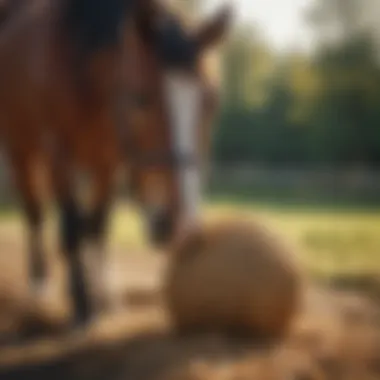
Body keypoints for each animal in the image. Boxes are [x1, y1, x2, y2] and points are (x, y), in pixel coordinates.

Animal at [0, 0, 232, 326]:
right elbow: (72, 226)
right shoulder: (58, 154)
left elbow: (97, 224)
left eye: (211, 102)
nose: (182, 227)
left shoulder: (108, 162)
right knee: (35, 213)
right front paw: (82, 302)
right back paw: (39, 285)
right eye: (140, 100)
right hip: (20, 149)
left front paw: (105, 296)